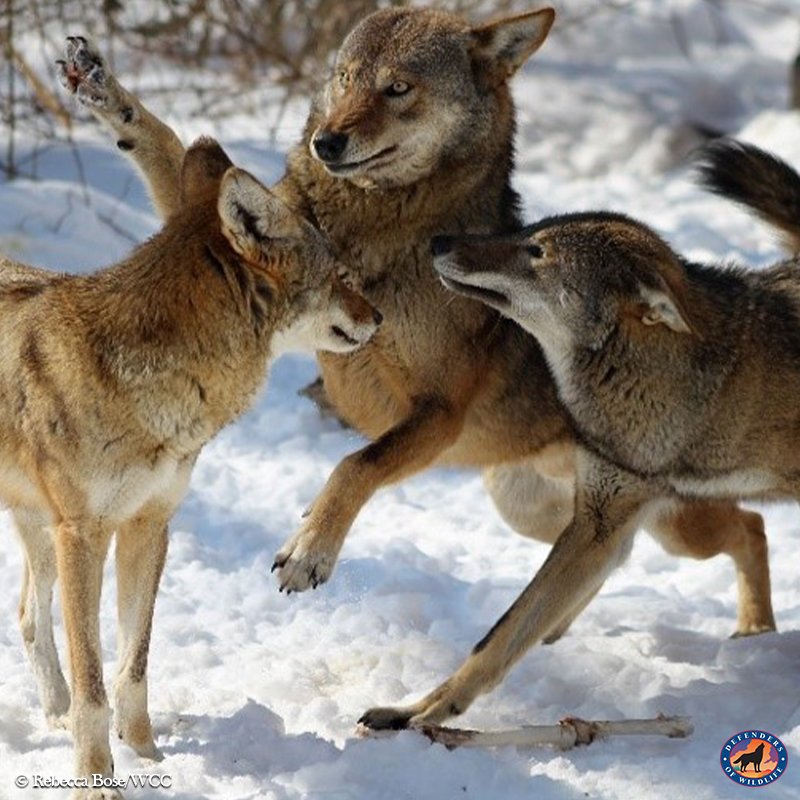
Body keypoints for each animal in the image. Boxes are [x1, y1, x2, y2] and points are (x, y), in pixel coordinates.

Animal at [2, 137, 378, 797]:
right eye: (340, 277)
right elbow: (95, 686)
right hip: (50, 536)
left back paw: (53, 716)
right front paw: (96, 779)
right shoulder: (84, 536)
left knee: (26, 616)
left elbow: (133, 666)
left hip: (39, 532)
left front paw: (150, 760)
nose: (379, 317)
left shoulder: (149, 526)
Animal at [427, 138, 798, 726]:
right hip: (663, 529)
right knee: (752, 525)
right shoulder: (599, 521)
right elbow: (500, 636)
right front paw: (418, 713)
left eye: (537, 251)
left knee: (752, 525)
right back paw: (754, 632)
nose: (438, 239)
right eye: (529, 230)